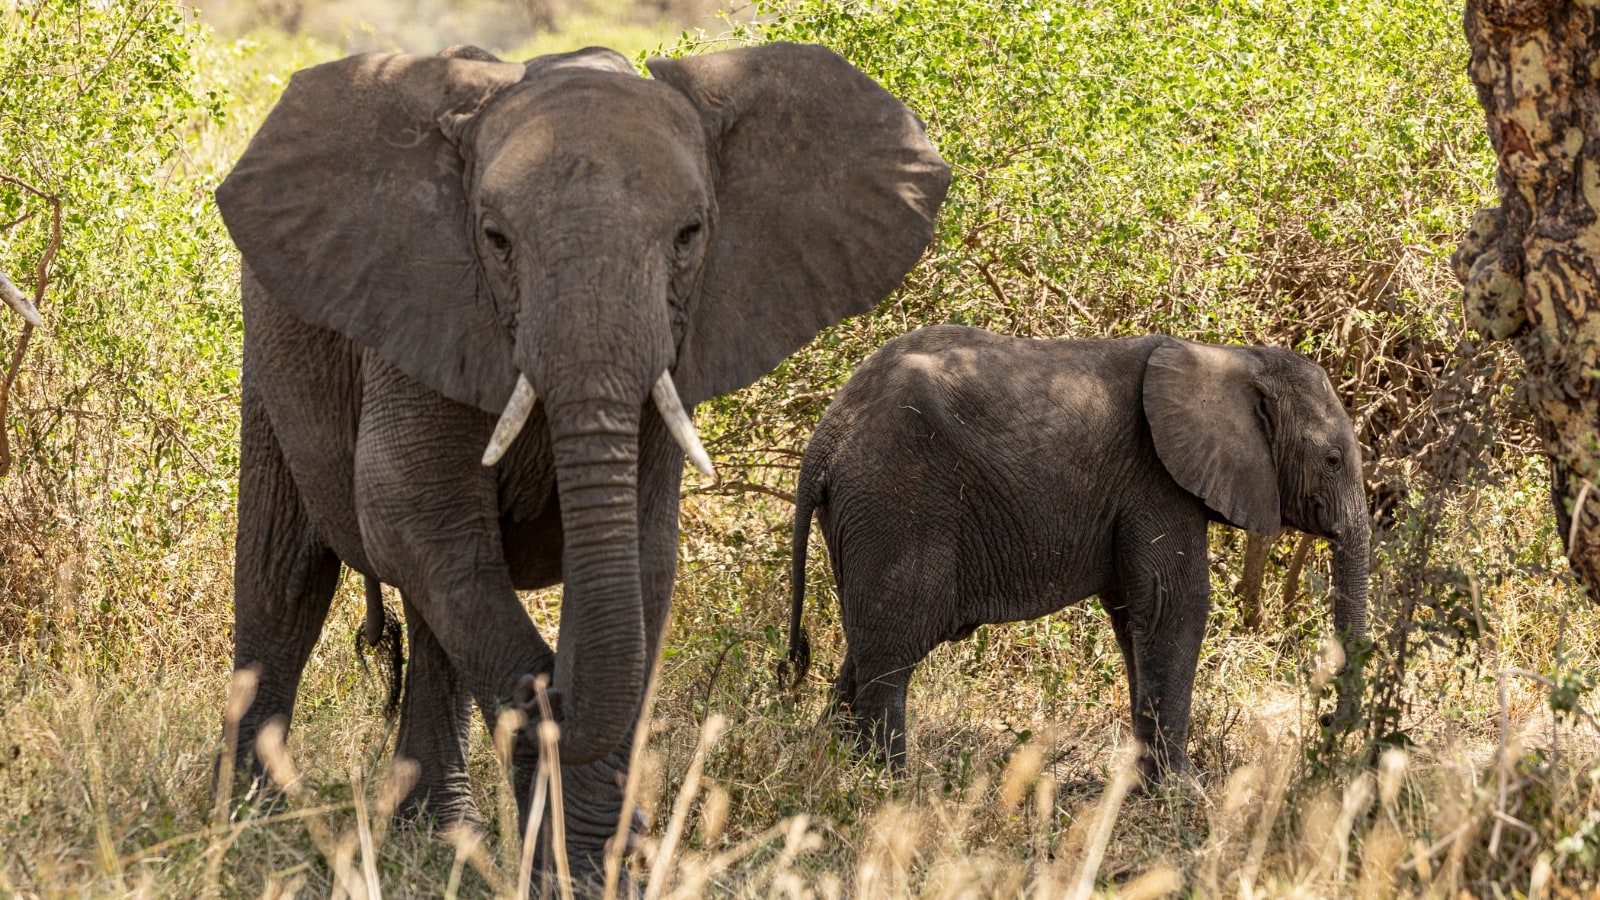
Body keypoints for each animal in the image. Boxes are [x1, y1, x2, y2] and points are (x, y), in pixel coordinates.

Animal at [213, 41, 949, 886]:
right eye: (495, 239)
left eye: (690, 234)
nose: (552, 698)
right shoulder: (419, 304)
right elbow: (404, 512)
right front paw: (563, 797)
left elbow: (641, 558)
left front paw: (592, 866)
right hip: (272, 351)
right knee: (288, 576)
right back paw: (248, 828)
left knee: (435, 611)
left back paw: (439, 838)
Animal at [785, 325, 1369, 780]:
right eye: (1333, 460)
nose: (1325, 723)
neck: (1230, 355)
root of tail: (824, 438)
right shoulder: (1157, 479)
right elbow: (1175, 605)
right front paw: (1182, 790)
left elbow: (1134, 616)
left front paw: (1143, 785)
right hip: (896, 500)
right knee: (892, 649)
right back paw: (889, 788)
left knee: (866, 644)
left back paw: (833, 765)